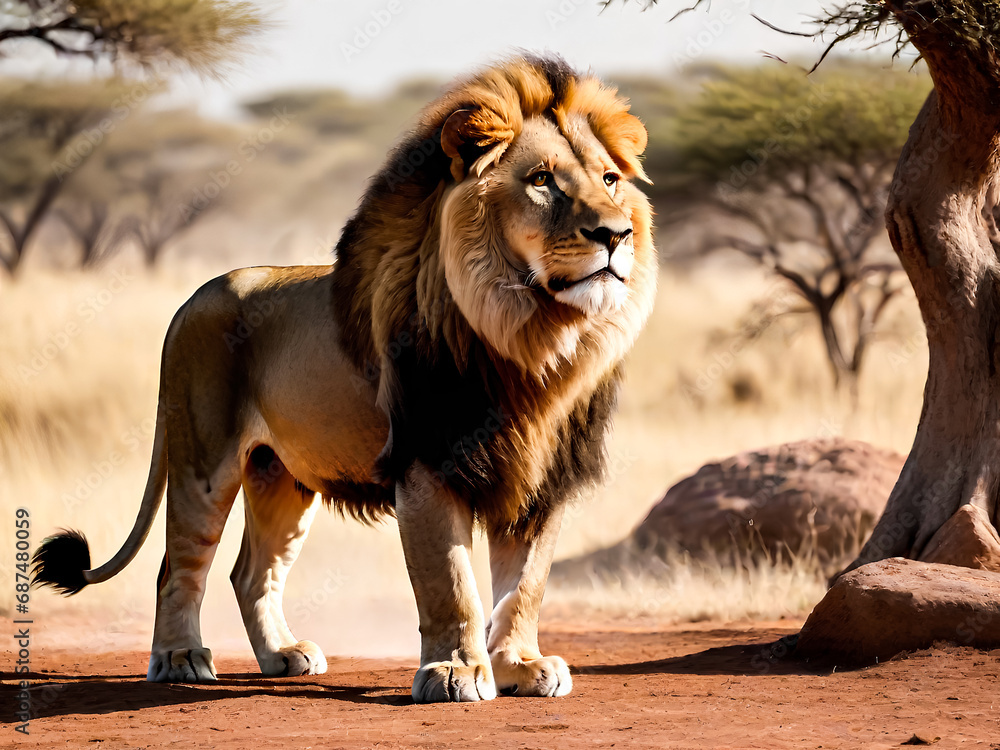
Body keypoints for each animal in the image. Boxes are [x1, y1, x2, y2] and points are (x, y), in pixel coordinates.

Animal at [32, 55, 658, 703]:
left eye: (610, 180)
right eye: (542, 180)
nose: (616, 234)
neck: (532, 339)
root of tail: (192, 300)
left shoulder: (543, 477)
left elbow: (525, 586)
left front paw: (520, 665)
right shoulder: (426, 461)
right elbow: (450, 581)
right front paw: (456, 671)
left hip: (280, 476)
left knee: (249, 572)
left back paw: (283, 655)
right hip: (202, 463)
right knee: (177, 567)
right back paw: (180, 657)